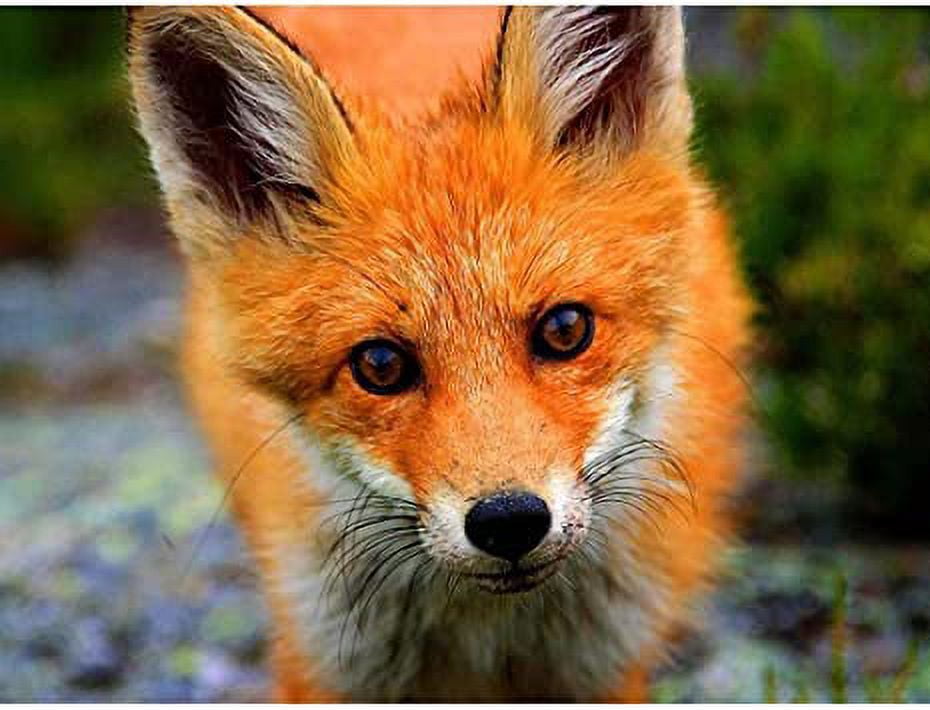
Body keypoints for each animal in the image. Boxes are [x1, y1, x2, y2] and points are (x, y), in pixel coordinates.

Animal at [128, 5, 751, 702]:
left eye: (565, 329)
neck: (488, 635)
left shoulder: (603, 666)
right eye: (380, 366)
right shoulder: (325, 663)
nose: (509, 521)